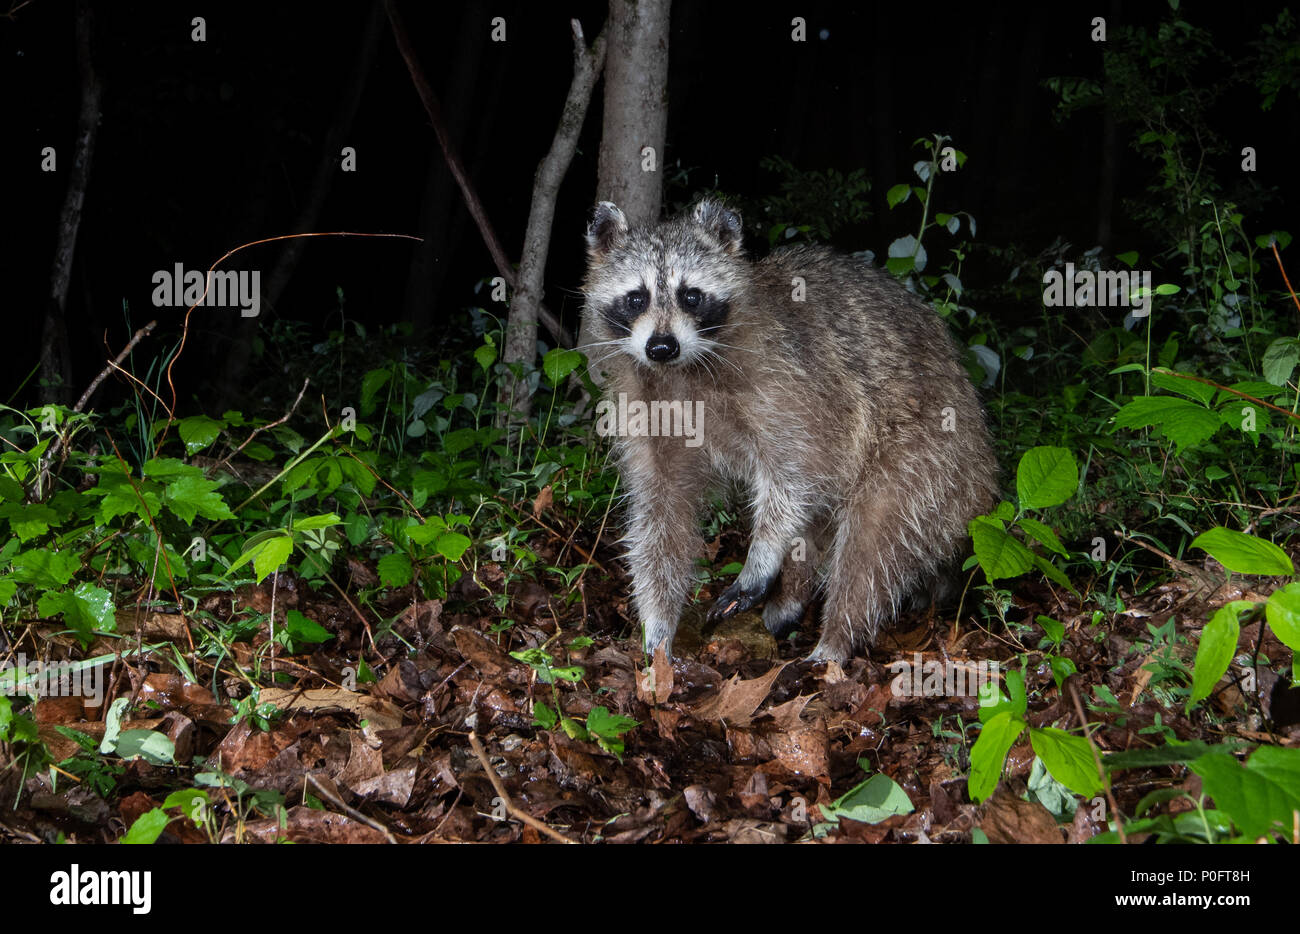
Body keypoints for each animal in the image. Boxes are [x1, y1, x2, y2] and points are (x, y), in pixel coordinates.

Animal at [581, 199, 998, 663]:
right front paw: (657, 631)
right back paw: (792, 598)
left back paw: (835, 640)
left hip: (929, 453)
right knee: (823, 530)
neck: (682, 369)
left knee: (874, 541)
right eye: (636, 297)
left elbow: (798, 470)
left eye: (691, 295)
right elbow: (660, 512)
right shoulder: (647, 403)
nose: (661, 346)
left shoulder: (790, 380)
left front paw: (762, 556)